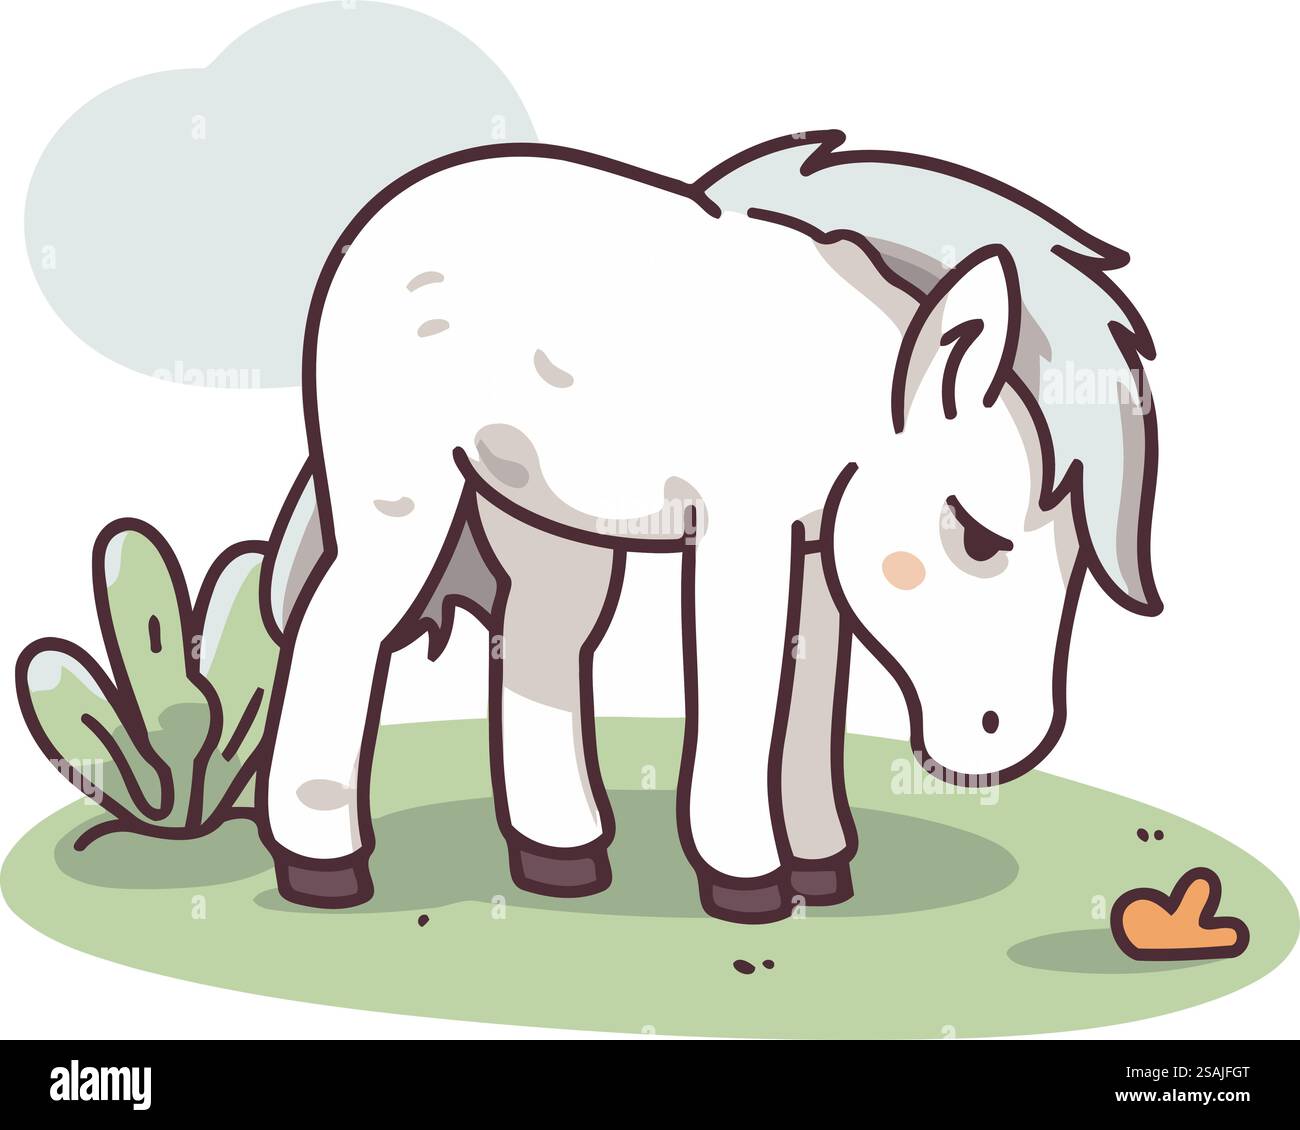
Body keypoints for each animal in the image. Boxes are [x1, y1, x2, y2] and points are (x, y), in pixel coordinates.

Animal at [257, 131, 1160, 923]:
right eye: (976, 537)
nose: (1006, 743)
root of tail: (393, 206)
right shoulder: (744, 533)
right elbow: (744, 691)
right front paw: (749, 882)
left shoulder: (818, 547)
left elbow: (811, 701)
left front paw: (820, 870)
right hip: (400, 494)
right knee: (338, 625)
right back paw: (325, 866)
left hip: (545, 514)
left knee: (544, 641)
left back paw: (563, 859)